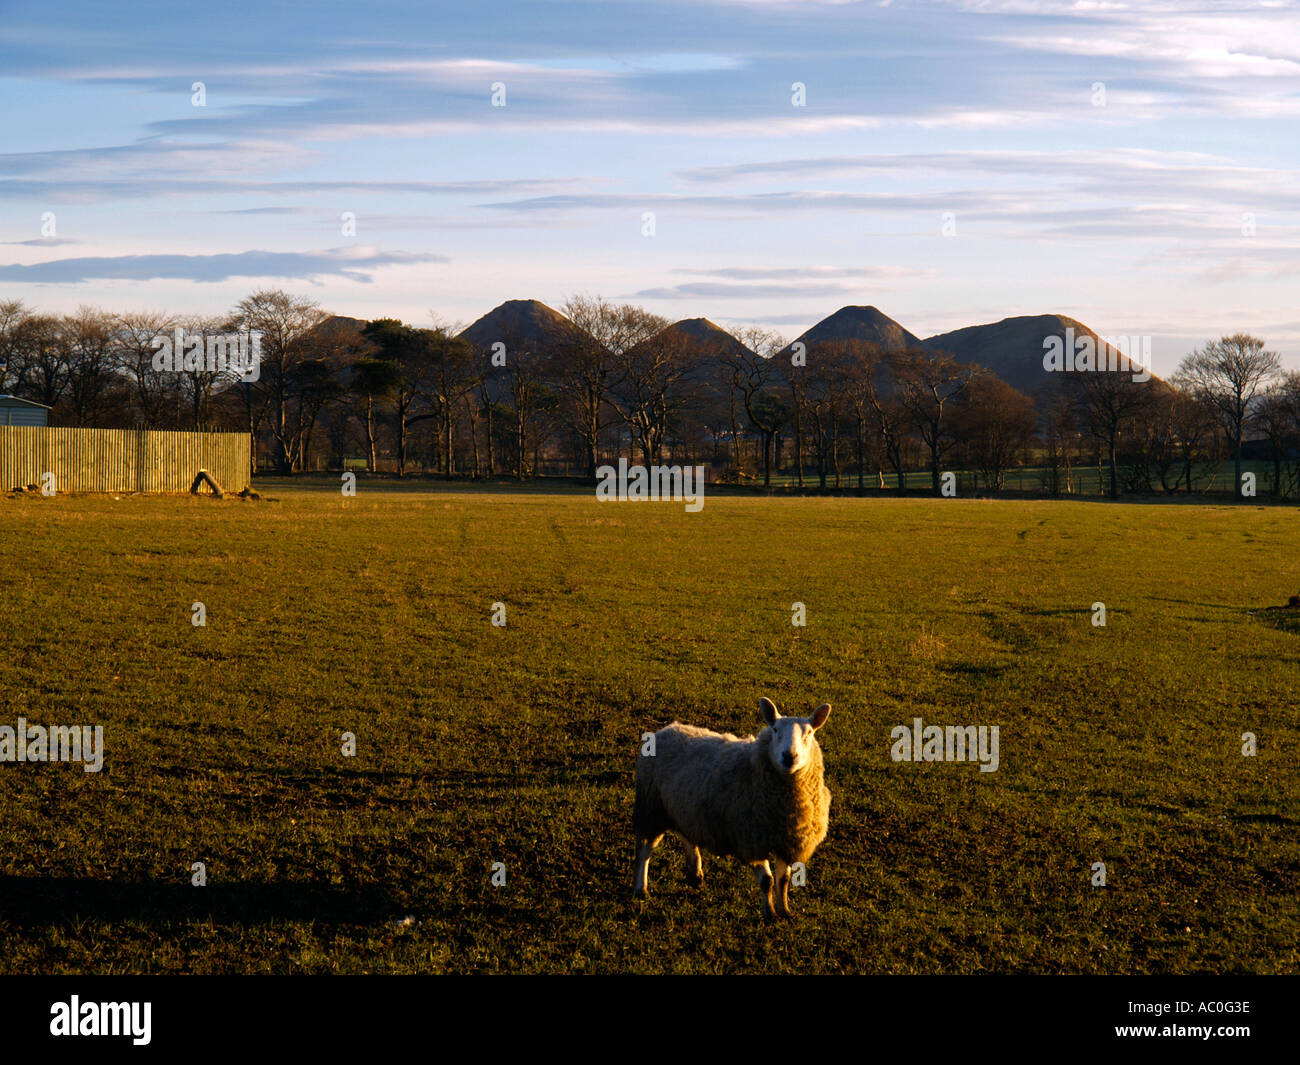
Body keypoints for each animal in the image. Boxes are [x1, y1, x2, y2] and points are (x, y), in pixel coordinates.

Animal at [633, 697, 831, 920]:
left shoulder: (786, 841)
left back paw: (695, 873)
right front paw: (769, 914)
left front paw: (785, 911)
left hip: (684, 808)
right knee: (645, 850)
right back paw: (641, 888)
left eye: (809, 732)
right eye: (775, 730)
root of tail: (668, 728)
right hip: (651, 809)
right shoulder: (751, 839)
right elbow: (768, 881)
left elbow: (783, 880)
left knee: (686, 835)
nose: (789, 757)